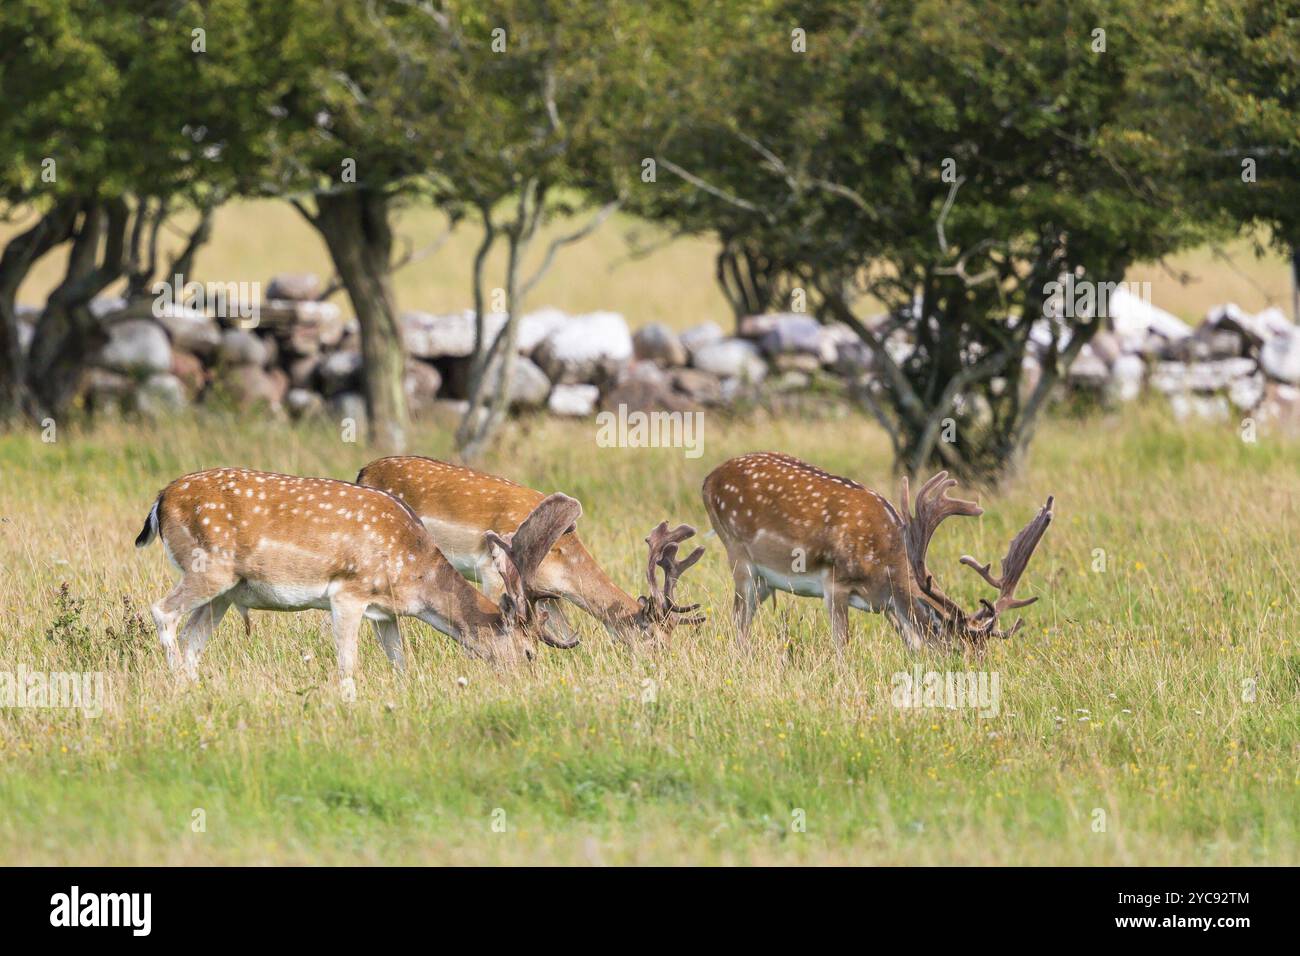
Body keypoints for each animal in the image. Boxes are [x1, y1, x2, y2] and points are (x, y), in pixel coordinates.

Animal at [134, 467, 581, 696]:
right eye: (529, 653)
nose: (529, 686)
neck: (412, 570)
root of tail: (160, 501)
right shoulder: (349, 592)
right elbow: (347, 664)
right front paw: (348, 705)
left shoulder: (386, 613)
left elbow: (401, 662)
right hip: (208, 568)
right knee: (162, 612)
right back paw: (177, 684)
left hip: (226, 592)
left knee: (193, 640)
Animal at [355, 456, 705, 645]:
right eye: (652, 638)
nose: (660, 663)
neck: (562, 558)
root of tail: (363, 471)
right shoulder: (493, 571)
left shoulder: (548, 595)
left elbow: (564, 631)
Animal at [702, 452, 1052, 651]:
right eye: (956, 649)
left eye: (984, 654)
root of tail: (708, 480)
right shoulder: (835, 583)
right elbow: (842, 646)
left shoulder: (888, 607)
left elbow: (910, 642)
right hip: (738, 555)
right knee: (737, 621)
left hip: (763, 580)